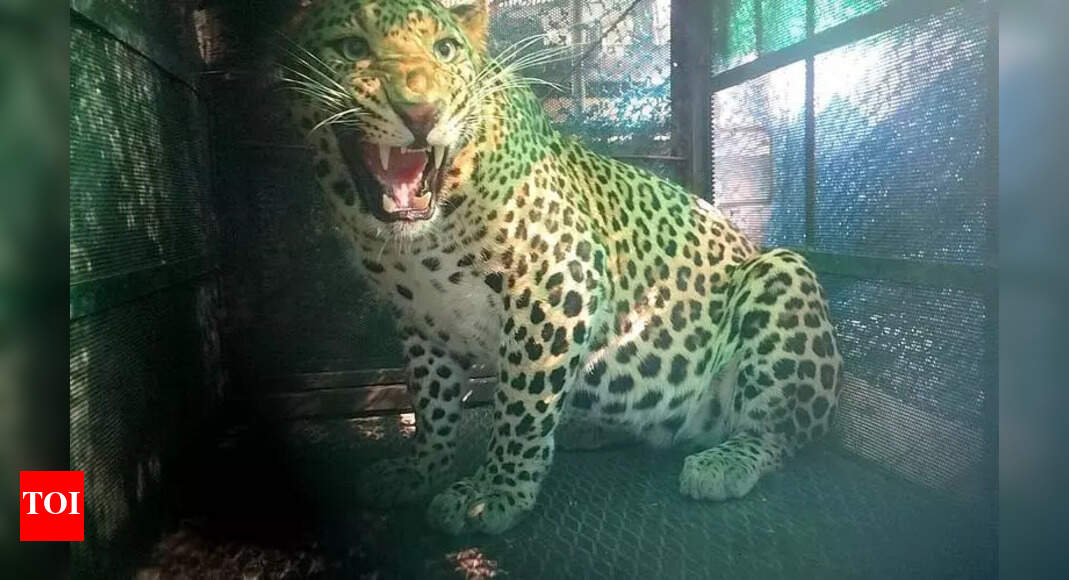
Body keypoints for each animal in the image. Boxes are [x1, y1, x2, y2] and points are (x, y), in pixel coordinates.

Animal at [281, 0, 842, 535]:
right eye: (352, 48)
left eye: (444, 50)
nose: (421, 113)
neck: (419, 240)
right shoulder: (422, 319)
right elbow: (431, 400)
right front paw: (422, 468)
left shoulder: (557, 281)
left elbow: (520, 404)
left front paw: (494, 491)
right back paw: (590, 429)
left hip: (783, 276)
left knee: (776, 431)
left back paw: (725, 462)